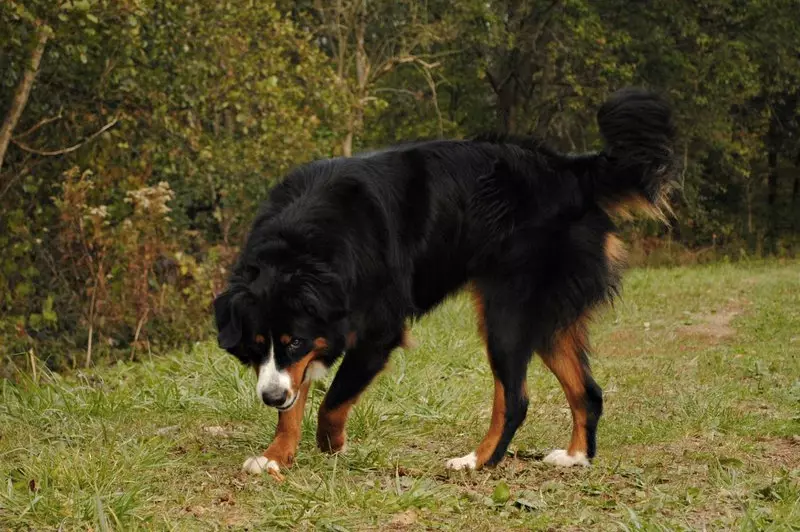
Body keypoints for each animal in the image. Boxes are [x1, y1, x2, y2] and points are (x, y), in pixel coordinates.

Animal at [212, 87, 676, 478]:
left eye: (292, 341)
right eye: (255, 346)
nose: (269, 397)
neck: (303, 243)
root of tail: (569, 170)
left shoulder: (377, 333)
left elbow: (333, 400)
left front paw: (332, 444)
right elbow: (296, 402)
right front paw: (276, 456)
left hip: (506, 312)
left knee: (515, 400)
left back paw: (477, 460)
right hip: (545, 320)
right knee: (587, 392)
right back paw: (575, 457)